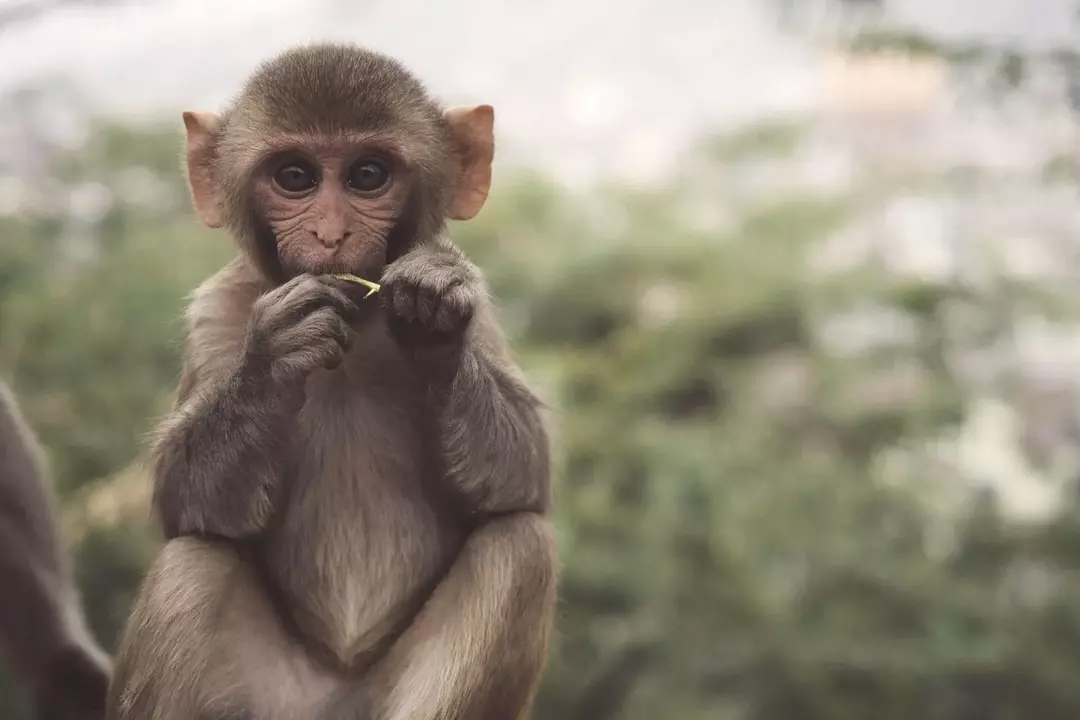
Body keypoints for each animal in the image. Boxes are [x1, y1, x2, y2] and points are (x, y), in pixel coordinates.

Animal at [106, 43, 557, 720]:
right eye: (295, 177)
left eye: (368, 175)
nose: (330, 235)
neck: (361, 324)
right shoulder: (217, 310)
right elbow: (188, 501)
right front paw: (275, 357)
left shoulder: (483, 312)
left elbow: (522, 475)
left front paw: (434, 322)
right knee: (193, 565)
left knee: (519, 547)